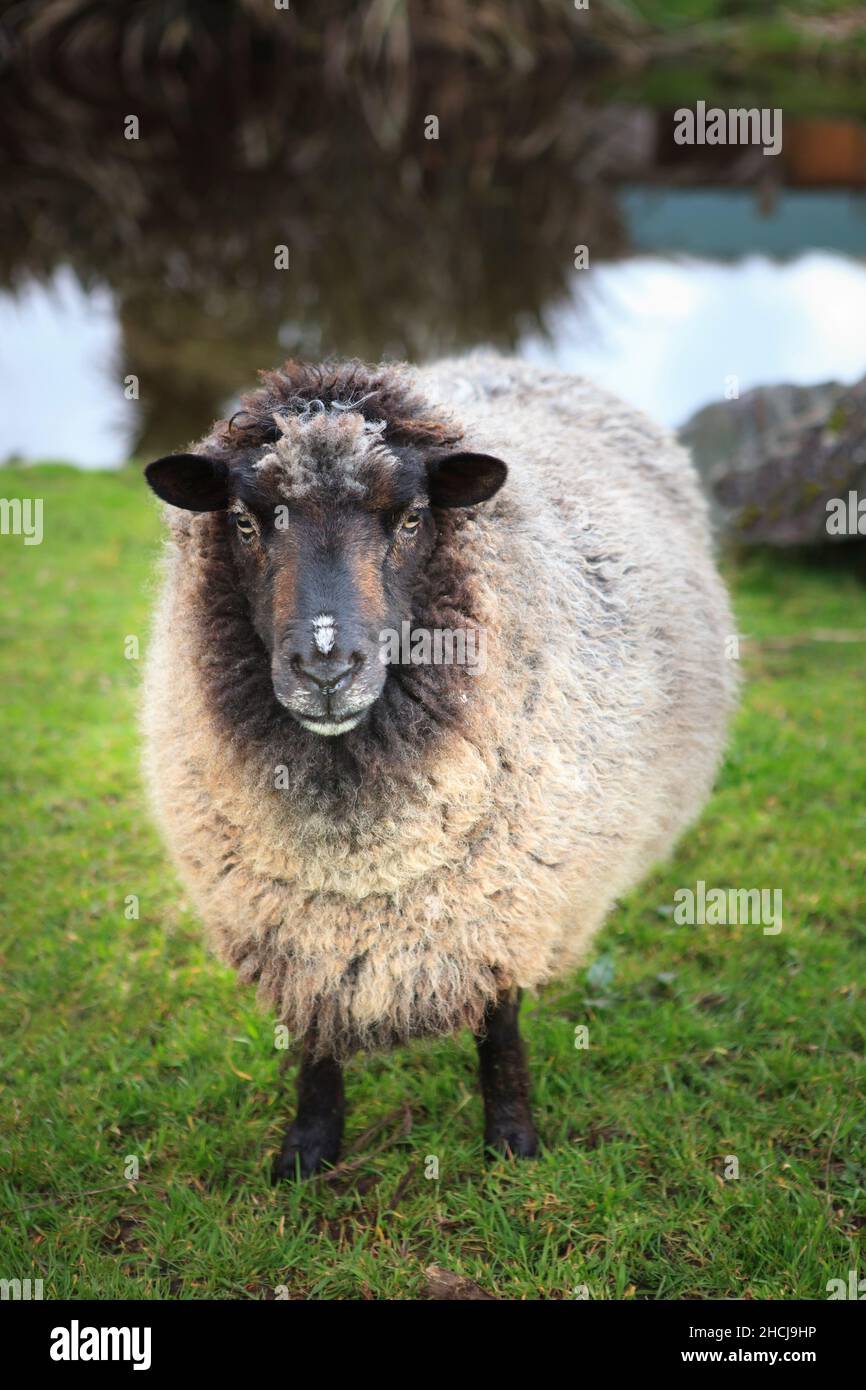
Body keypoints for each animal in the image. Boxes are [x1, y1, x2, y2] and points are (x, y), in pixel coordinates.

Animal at [142, 353, 736, 1178]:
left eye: (412, 519)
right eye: (244, 522)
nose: (326, 670)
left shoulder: (508, 892)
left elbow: (501, 1020)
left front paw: (512, 1142)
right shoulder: (297, 920)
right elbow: (316, 1029)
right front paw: (307, 1151)